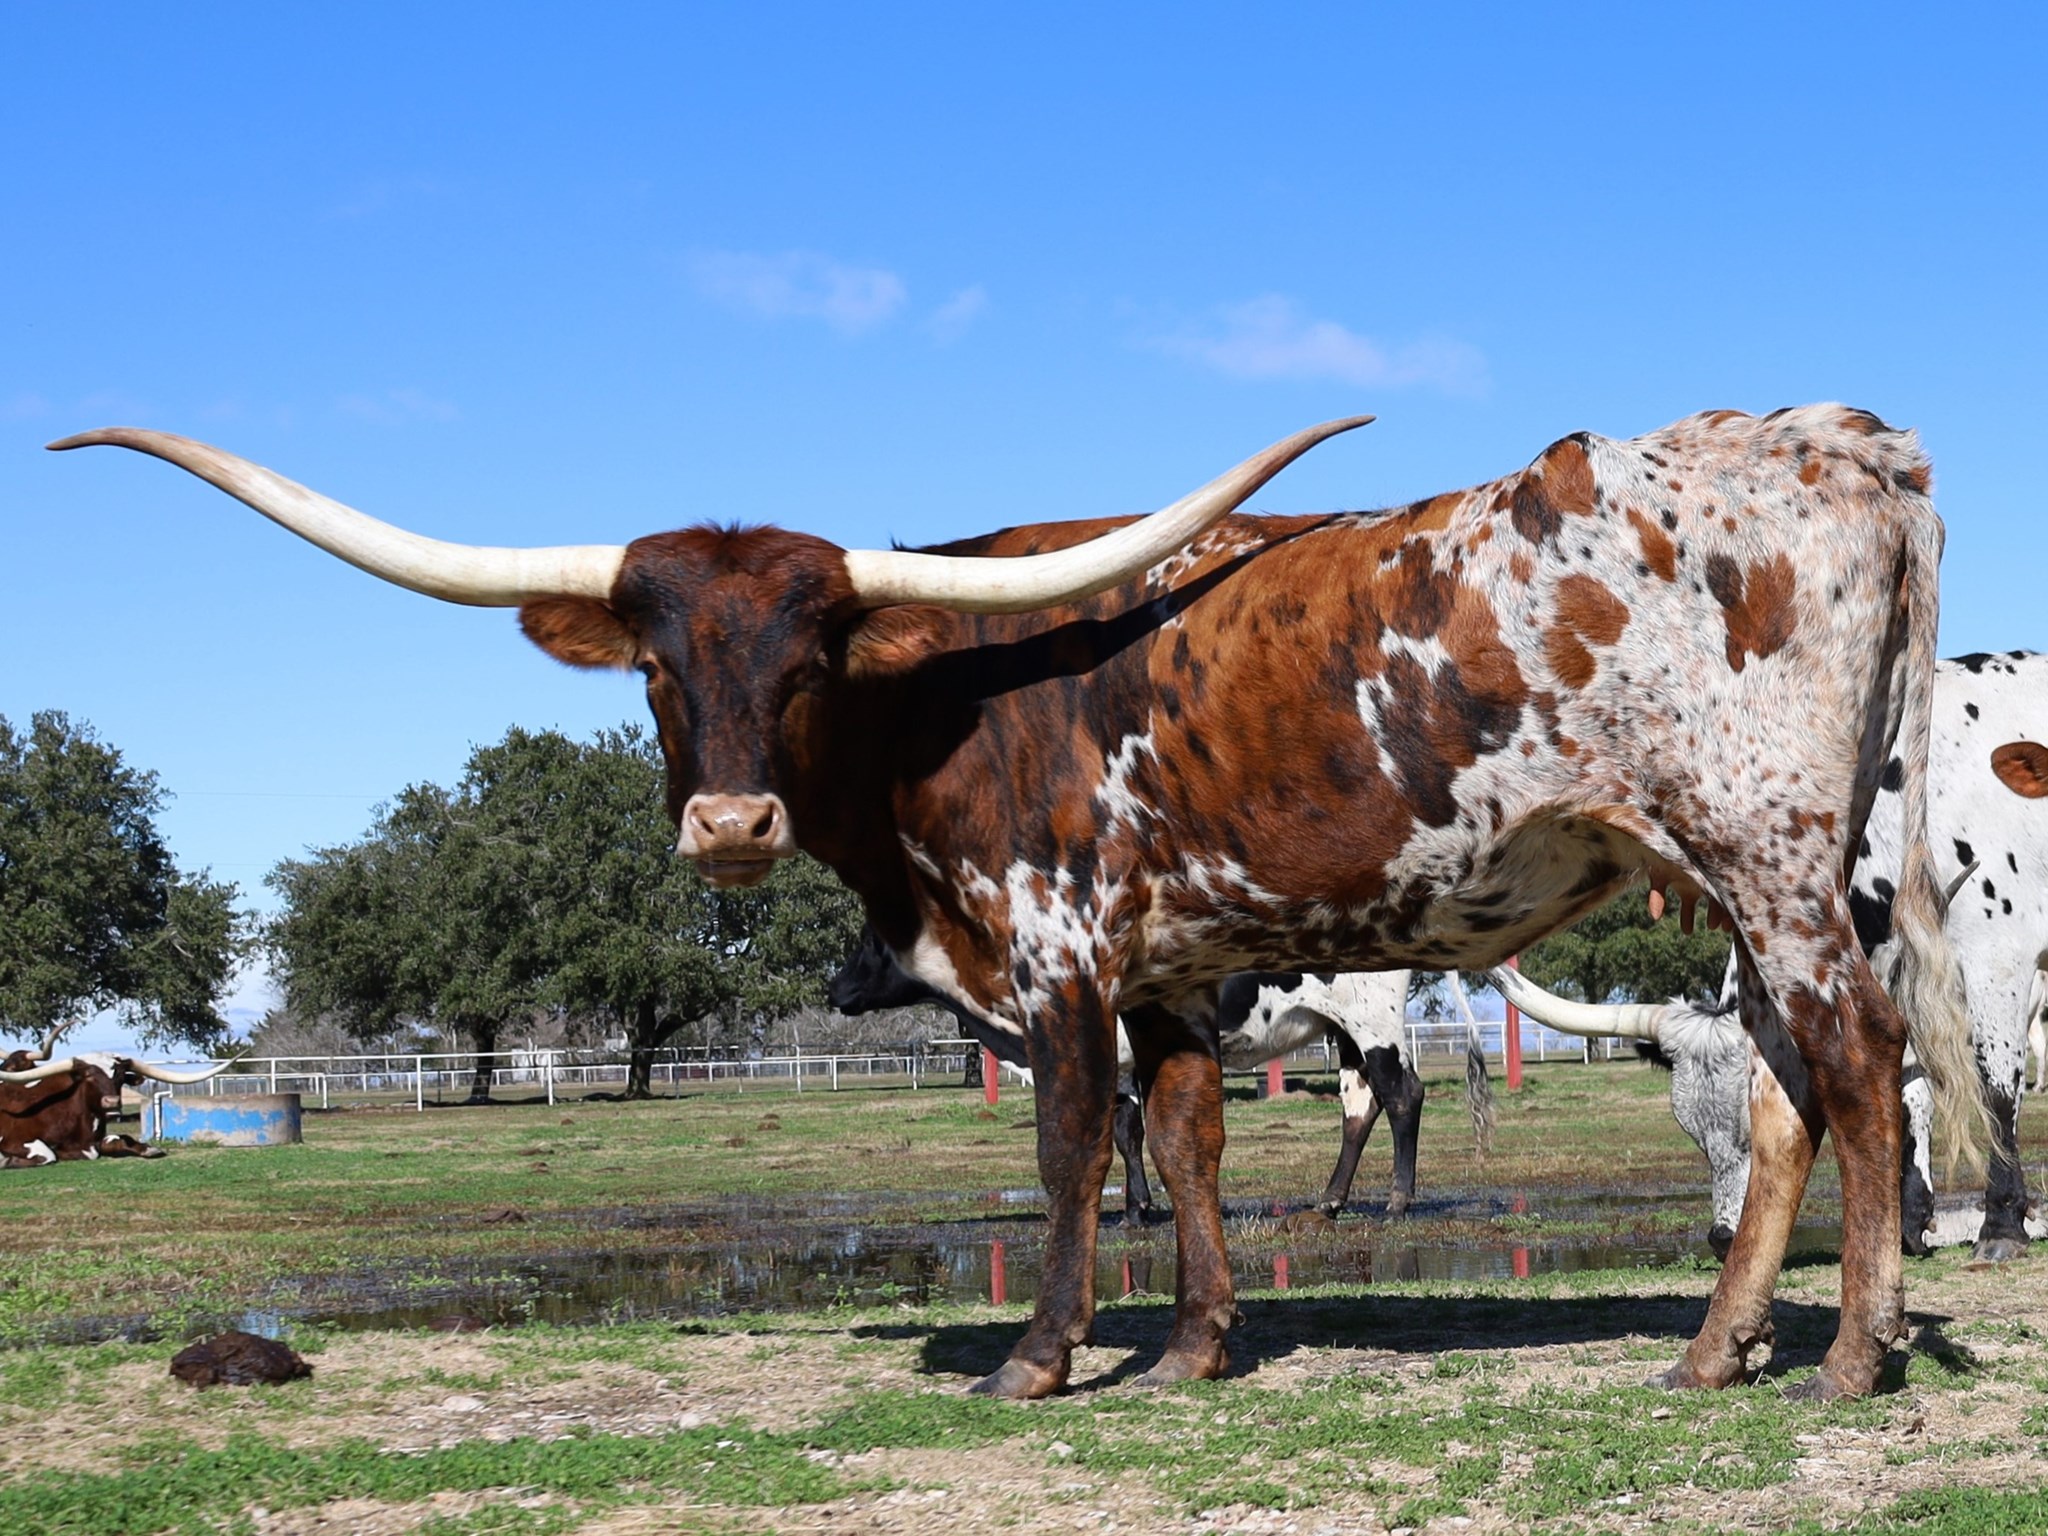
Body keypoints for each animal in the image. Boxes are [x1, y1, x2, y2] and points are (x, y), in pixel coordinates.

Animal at [0, 1054, 227, 1166]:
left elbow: (118, 1139)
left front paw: (148, 1148)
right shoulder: (13, 1140)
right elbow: (48, 1153)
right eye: (89, 1076)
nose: (111, 1101)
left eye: (119, 1075)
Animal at [831, 930, 1426, 1222]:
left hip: (1373, 1024)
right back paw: (1330, 1201)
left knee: (1403, 1096)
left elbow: (1127, 1134)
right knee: (1359, 1107)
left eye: (872, 948)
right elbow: (1126, 1133)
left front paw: (1137, 1210)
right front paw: (1139, 1205)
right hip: (1344, 1032)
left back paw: (1397, 1203)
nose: (833, 989)